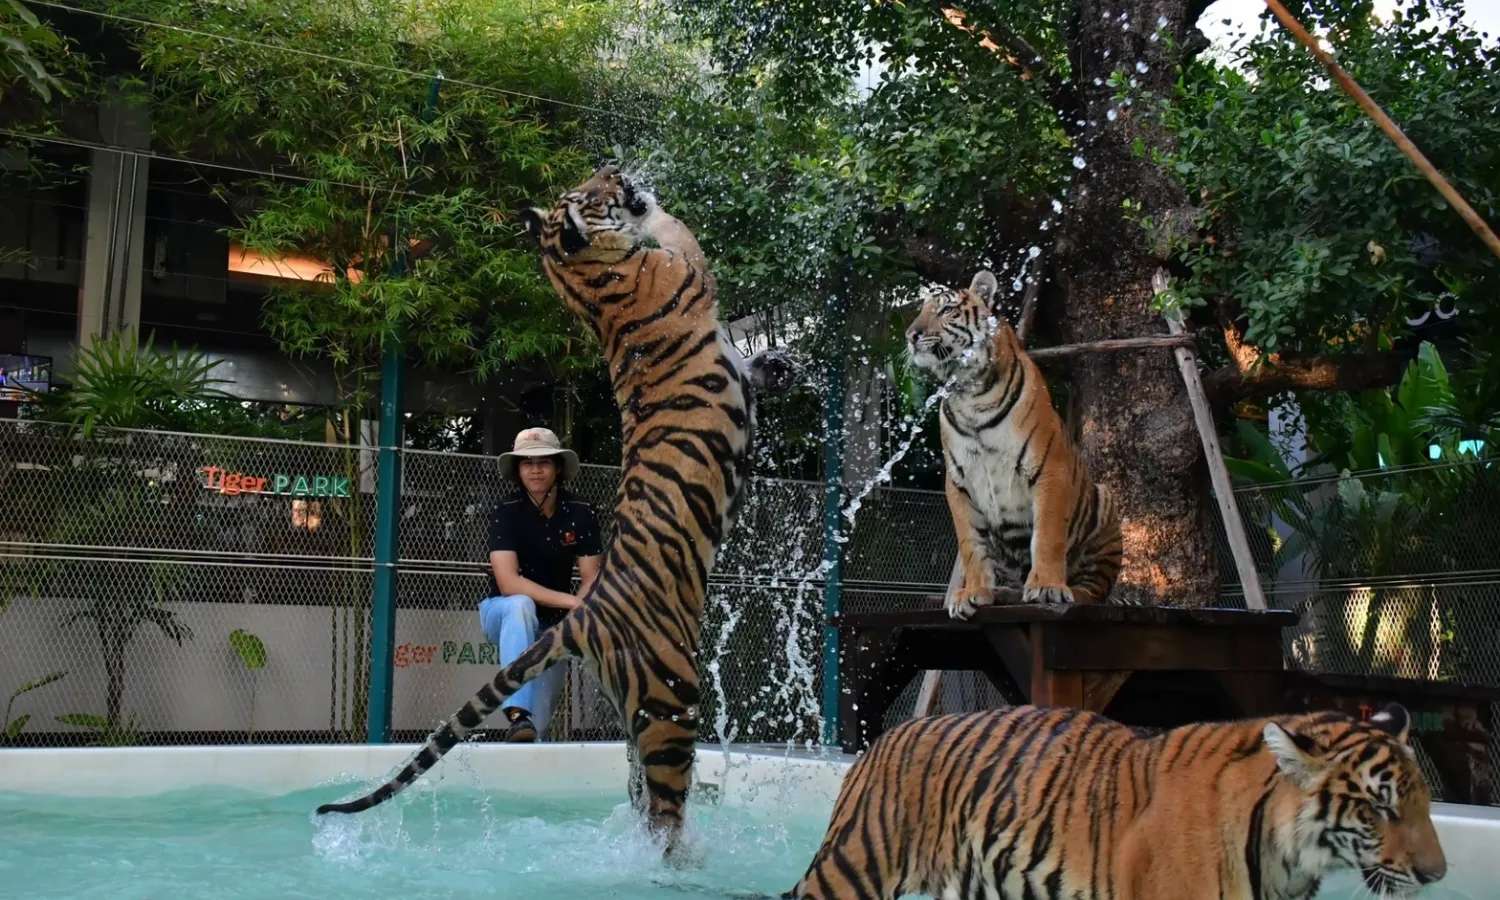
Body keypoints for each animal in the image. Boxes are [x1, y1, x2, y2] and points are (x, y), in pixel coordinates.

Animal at [315, 165, 792, 853]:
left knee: (640, 792)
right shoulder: (686, 269)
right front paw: (655, 208)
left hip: (635, 709)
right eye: (596, 189)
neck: (586, 280)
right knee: (664, 809)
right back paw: (681, 860)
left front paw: (777, 364)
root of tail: (584, 614)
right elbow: (679, 233)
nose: (617, 169)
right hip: (672, 700)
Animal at [906, 269, 1122, 617]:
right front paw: (973, 592)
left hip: (1105, 502)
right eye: (921, 310)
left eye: (947, 310)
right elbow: (971, 545)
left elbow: (1047, 536)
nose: (911, 335)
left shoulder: (1049, 468)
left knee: (1094, 592)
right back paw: (1004, 592)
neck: (971, 395)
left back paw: (1066, 593)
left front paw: (1046, 586)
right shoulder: (959, 481)